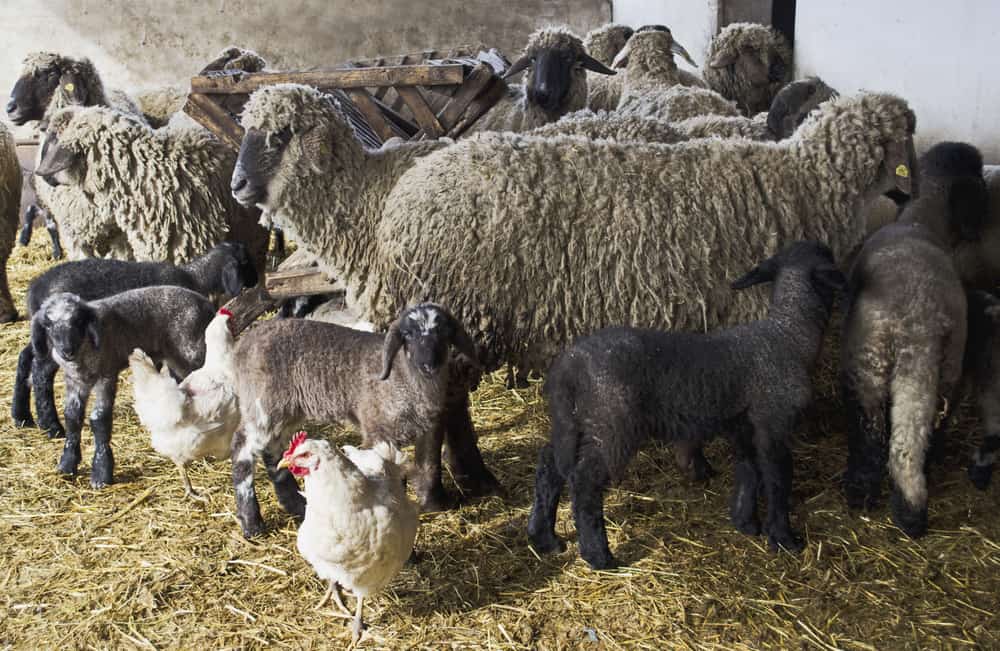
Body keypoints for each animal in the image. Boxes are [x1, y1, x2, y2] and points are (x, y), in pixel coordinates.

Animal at [11, 241, 259, 438]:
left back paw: (22, 417)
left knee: (25, 358)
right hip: (60, 342)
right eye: (246, 262)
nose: (257, 281)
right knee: (41, 372)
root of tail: (35, 288)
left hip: (43, 338)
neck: (194, 277)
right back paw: (51, 426)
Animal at [32, 288, 215, 488]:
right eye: (48, 325)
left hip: (193, 352)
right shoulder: (74, 381)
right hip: (176, 359)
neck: (84, 350)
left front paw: (101, 474)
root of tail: (206, 304)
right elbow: (72, 417)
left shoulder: (106, 375)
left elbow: (99, 419)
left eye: (78, 321)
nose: (67, 350)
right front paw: (67, 464)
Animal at [228, 303, 498, 539]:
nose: (428, 365)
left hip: (287, 410)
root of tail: (245, 343)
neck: (404, 379)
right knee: (241, 448)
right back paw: (252, 523)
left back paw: (295, 504)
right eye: (408, 335)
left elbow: (429, 465)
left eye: (443, 332)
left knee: (274, 451)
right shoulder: (378, 432)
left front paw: (435, 504)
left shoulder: (430, 428)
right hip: (262, 404)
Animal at [528, 241, 845, 568]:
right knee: (584, 481)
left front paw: (745, 523)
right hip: (612, 424)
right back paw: (599, 556)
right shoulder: (774, 420)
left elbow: (749, 470)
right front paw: (784, 538)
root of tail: (569, 365)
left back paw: (544, 538)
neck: (788, 334)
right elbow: (778, 478)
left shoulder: (743, 425)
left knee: (550, 464)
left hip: (572, 421)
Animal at [840, 142, 988, 538]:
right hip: (944, 367)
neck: (919, 220)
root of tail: (917, 324)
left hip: (870, 366)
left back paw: (864, 494)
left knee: (871, 433)